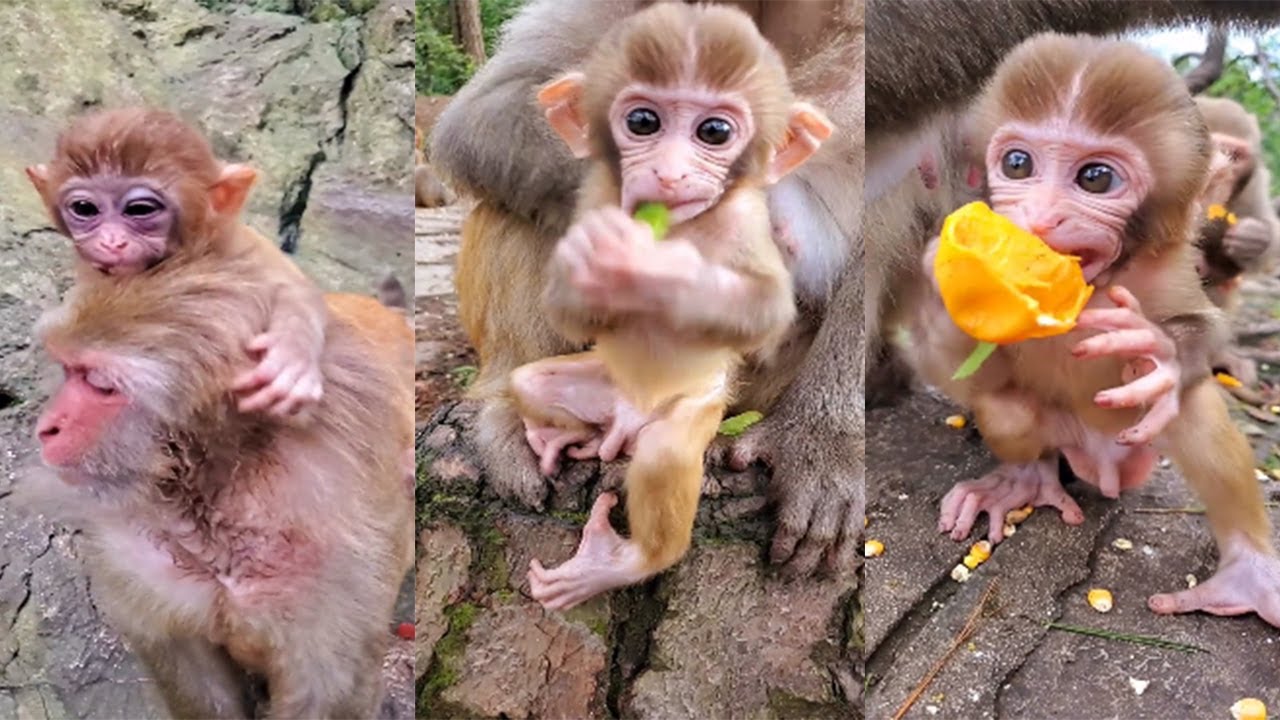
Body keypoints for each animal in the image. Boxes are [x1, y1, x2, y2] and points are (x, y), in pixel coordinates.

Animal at [25, 108, 328, 420]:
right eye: (84, 208)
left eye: (140, 210)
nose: (111, 241)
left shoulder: (236, 246)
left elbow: (290, 287)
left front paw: (293, 353)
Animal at [898, 34, 1280, 628]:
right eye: (1017, 163)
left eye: (1095, 178)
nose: (1040, 217)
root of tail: (1100, 464)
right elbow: (974, 377)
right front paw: (949, 283)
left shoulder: (1168, 266)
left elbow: (1204, 336)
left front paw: (1165, 354)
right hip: (1061, 440)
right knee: (1007, 407)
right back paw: (1023, 479)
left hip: (1134, 443)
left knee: (1193, 410)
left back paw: (1251, 577)